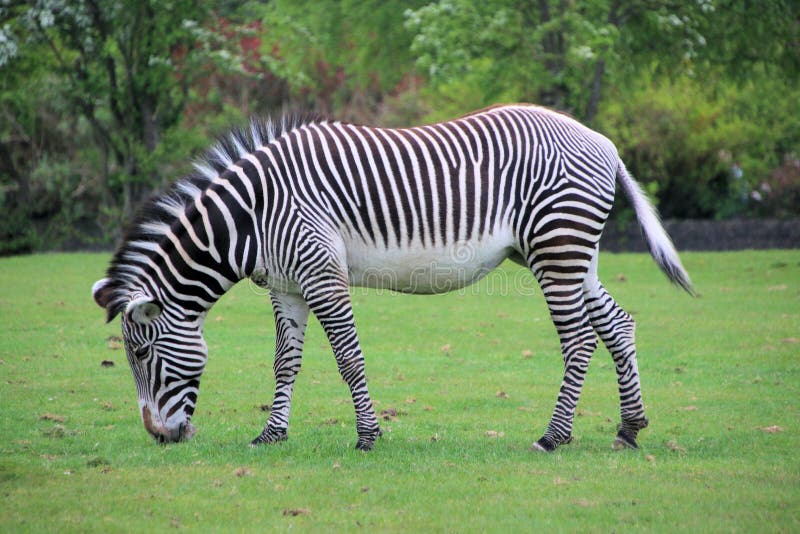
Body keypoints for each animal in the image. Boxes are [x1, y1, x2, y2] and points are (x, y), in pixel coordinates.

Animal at [92, 104, 693, 452]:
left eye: (141, 355)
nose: (159, 439)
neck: (252, 216)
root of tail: (603, 142)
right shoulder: (286, 285)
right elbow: (286, 361)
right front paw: (271, 434)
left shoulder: (321, 272)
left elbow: (347, 356)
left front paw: (367, 435)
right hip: (568, 251)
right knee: (617, 325)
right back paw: (629, 428)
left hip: (557, 248)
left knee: (579, 339)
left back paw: (554, 436)